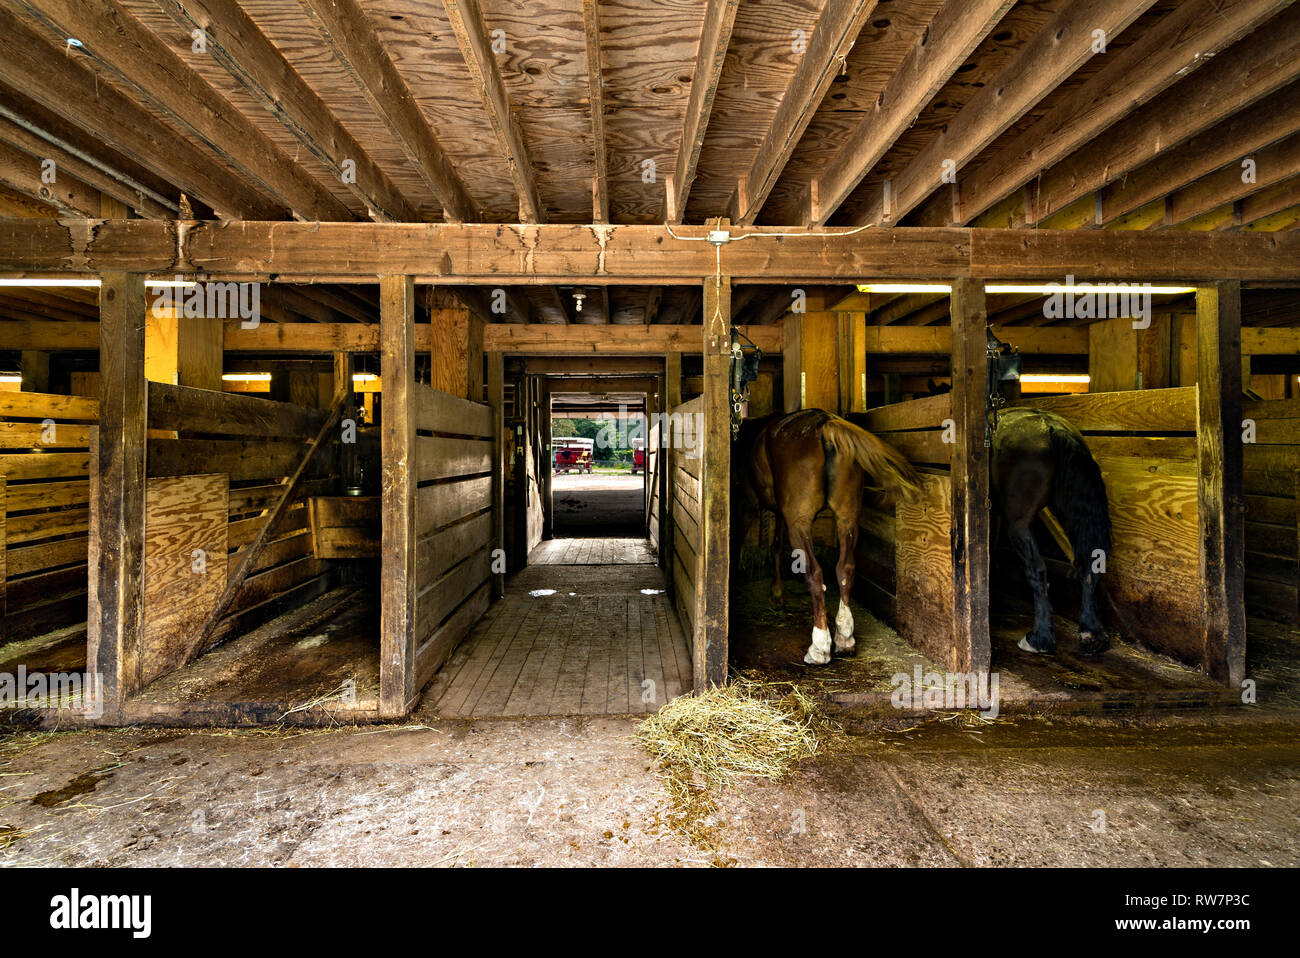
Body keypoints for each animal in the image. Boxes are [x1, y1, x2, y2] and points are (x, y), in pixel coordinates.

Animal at [735, 409, 921, 665]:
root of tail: (824, 424)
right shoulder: (782, 515)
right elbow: (776, 547)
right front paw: (776, 593)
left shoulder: (748, 506)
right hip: (846, 518)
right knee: (845, 568)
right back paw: (845, 638)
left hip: (800, 523)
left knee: (815, 573)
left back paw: (819, 646)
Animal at [991, 407, 1112, 656]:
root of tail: (1052, 427)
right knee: (1088, 563)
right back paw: (1091, 633)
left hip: (1018, 522)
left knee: (1036, 569)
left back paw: (1040, 639)